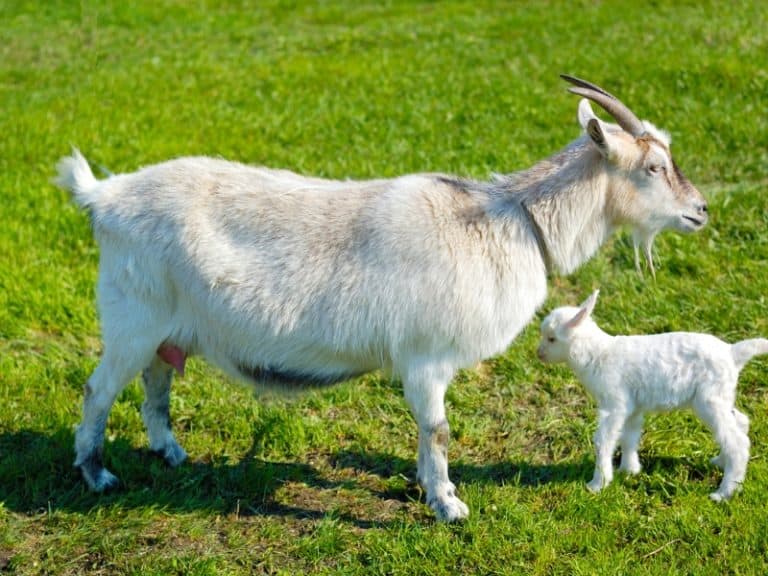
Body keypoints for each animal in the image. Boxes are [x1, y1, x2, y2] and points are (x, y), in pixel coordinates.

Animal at [56, 76, 708, 521]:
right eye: (654, 166)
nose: (701, 211)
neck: (513, 222)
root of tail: (103, 196)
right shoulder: (426, 356)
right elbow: (438, 429)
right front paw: (449, 506)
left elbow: (427, 431)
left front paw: (428, 489)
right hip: (131, 319)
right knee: (98, 390)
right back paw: (97, 475)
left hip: (165, 328)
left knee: (157, 381)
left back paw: (170, 452)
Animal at [538, 290, 767, 501]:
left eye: (552, 338)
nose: (538, 354)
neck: (597, 353)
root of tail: (732, 353)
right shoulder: (631, 406)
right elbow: (629, 436)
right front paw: (629, 470)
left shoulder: (614, 404)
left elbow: (603, 440)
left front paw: (598, 484)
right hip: (722, 396)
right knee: (741, 422)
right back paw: (720, 461)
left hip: (709, 400)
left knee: (737, 442)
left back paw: (724, 492)